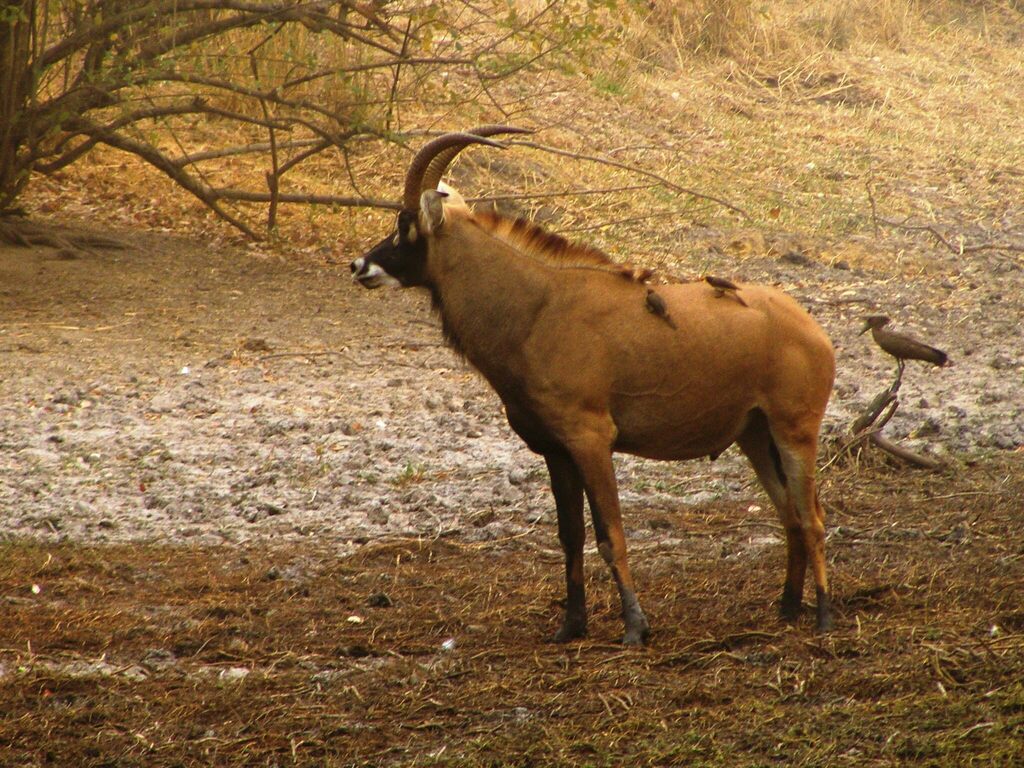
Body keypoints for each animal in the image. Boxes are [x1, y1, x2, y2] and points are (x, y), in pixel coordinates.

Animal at [350, 128, 836, 644]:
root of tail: (814, 330)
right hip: (755, 435)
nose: (359, 265)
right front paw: (571, 625)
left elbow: (610, 535)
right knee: (790, 515)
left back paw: (824, 615)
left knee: (812, 518)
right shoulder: (556, 449)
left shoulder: (590, 439)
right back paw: (788, 608)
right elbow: (571, 537)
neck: (538, 308)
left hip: (794, 430)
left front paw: (635, 627)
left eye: (405, 224)